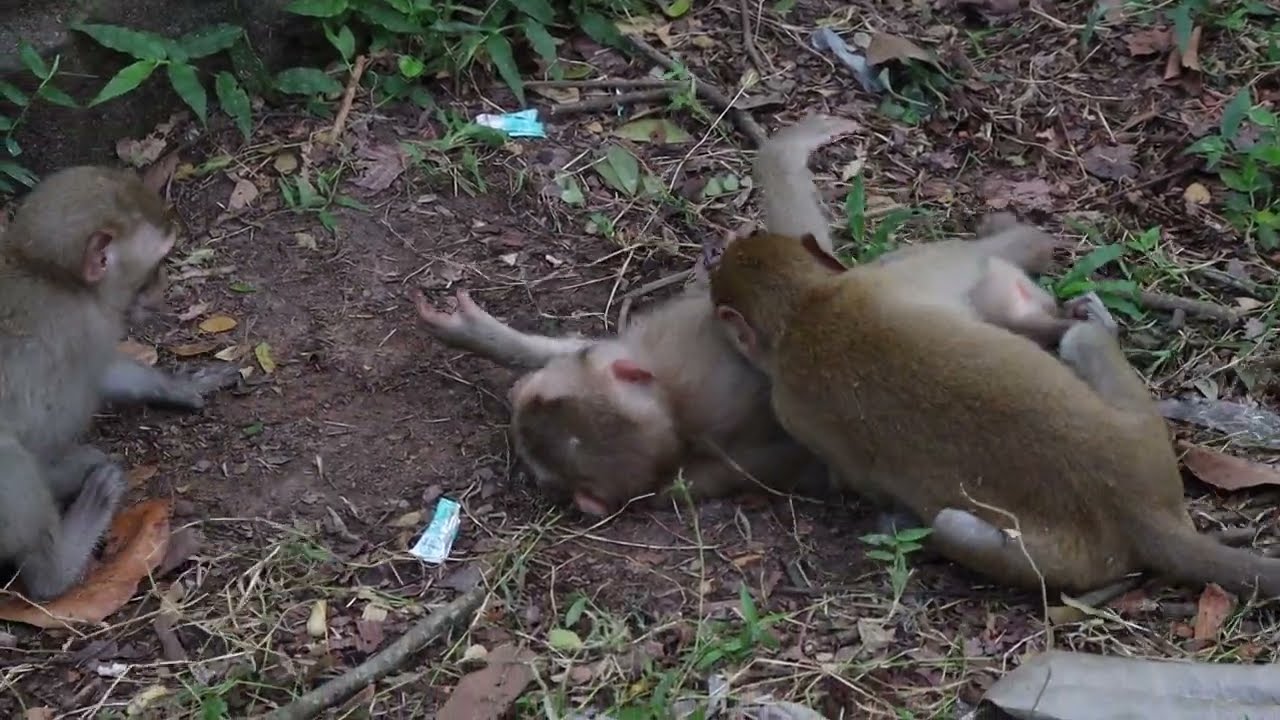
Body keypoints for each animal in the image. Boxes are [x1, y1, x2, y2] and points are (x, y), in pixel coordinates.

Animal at [0, 165, 240, 601]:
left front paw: (179, 386)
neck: (51, 274)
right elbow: (58, 406)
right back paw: (58, 565)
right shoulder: (82, 326)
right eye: (158, 262)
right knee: (8, 453)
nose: (164, 286)